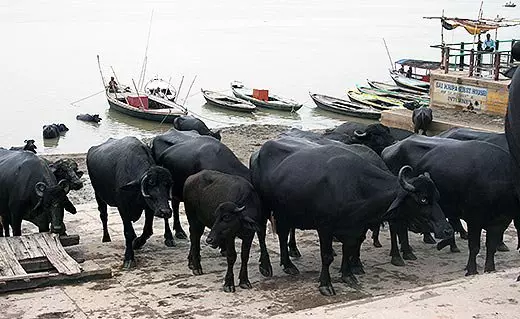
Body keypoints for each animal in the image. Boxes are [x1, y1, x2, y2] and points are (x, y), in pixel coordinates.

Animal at [87, 136, 173, 268]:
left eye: (167, 185)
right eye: (151, 183)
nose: (165, 211)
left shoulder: (148, 207)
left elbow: (148, 230)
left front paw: (136, 243)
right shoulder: (123, 207)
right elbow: (128, 232)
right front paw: (129, 257)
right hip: (98, 195)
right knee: (103, 215)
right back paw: (106, 238)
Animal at [150, 129, 272, 278]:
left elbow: (260, 237)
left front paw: (265, 266)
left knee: (175, 205)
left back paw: (179, 231)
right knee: (168, 213)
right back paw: (169, 238)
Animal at [250, 140, 452, 298]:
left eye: (437, 196)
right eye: (423, 199)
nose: (447, 229)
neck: (357, 186)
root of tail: (257, 153)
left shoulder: (353, 228)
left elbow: (349, 249)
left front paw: (348, 275)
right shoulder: (325, 227)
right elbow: (327, 256)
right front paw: (326, 285)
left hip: (285, 212)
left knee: (283, 234)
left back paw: (288, 264)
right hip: (265, 208)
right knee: (262, 234)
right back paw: (266, 266)